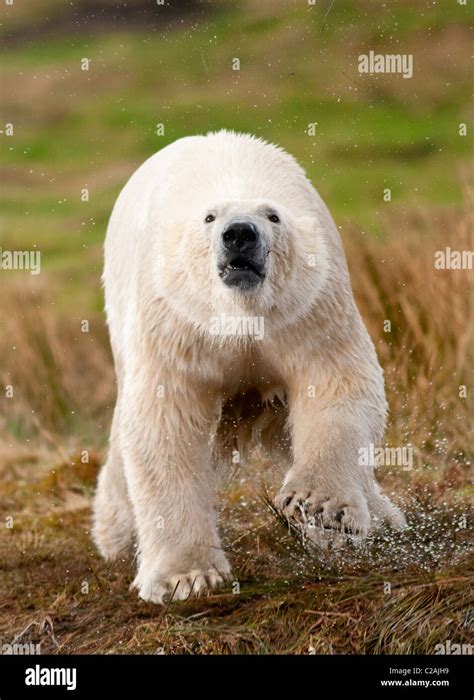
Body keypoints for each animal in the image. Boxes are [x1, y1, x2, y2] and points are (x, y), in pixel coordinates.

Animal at [92, 130, 405, 604]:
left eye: (273, 216)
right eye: (209, 218)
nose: (239, 233)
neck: (242, 315)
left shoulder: (308, 306)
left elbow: (335, 383)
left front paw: (320, 507)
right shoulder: (176, 319)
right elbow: (164, 421)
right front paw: (187, 578)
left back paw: (381, 519)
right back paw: (115, 536)